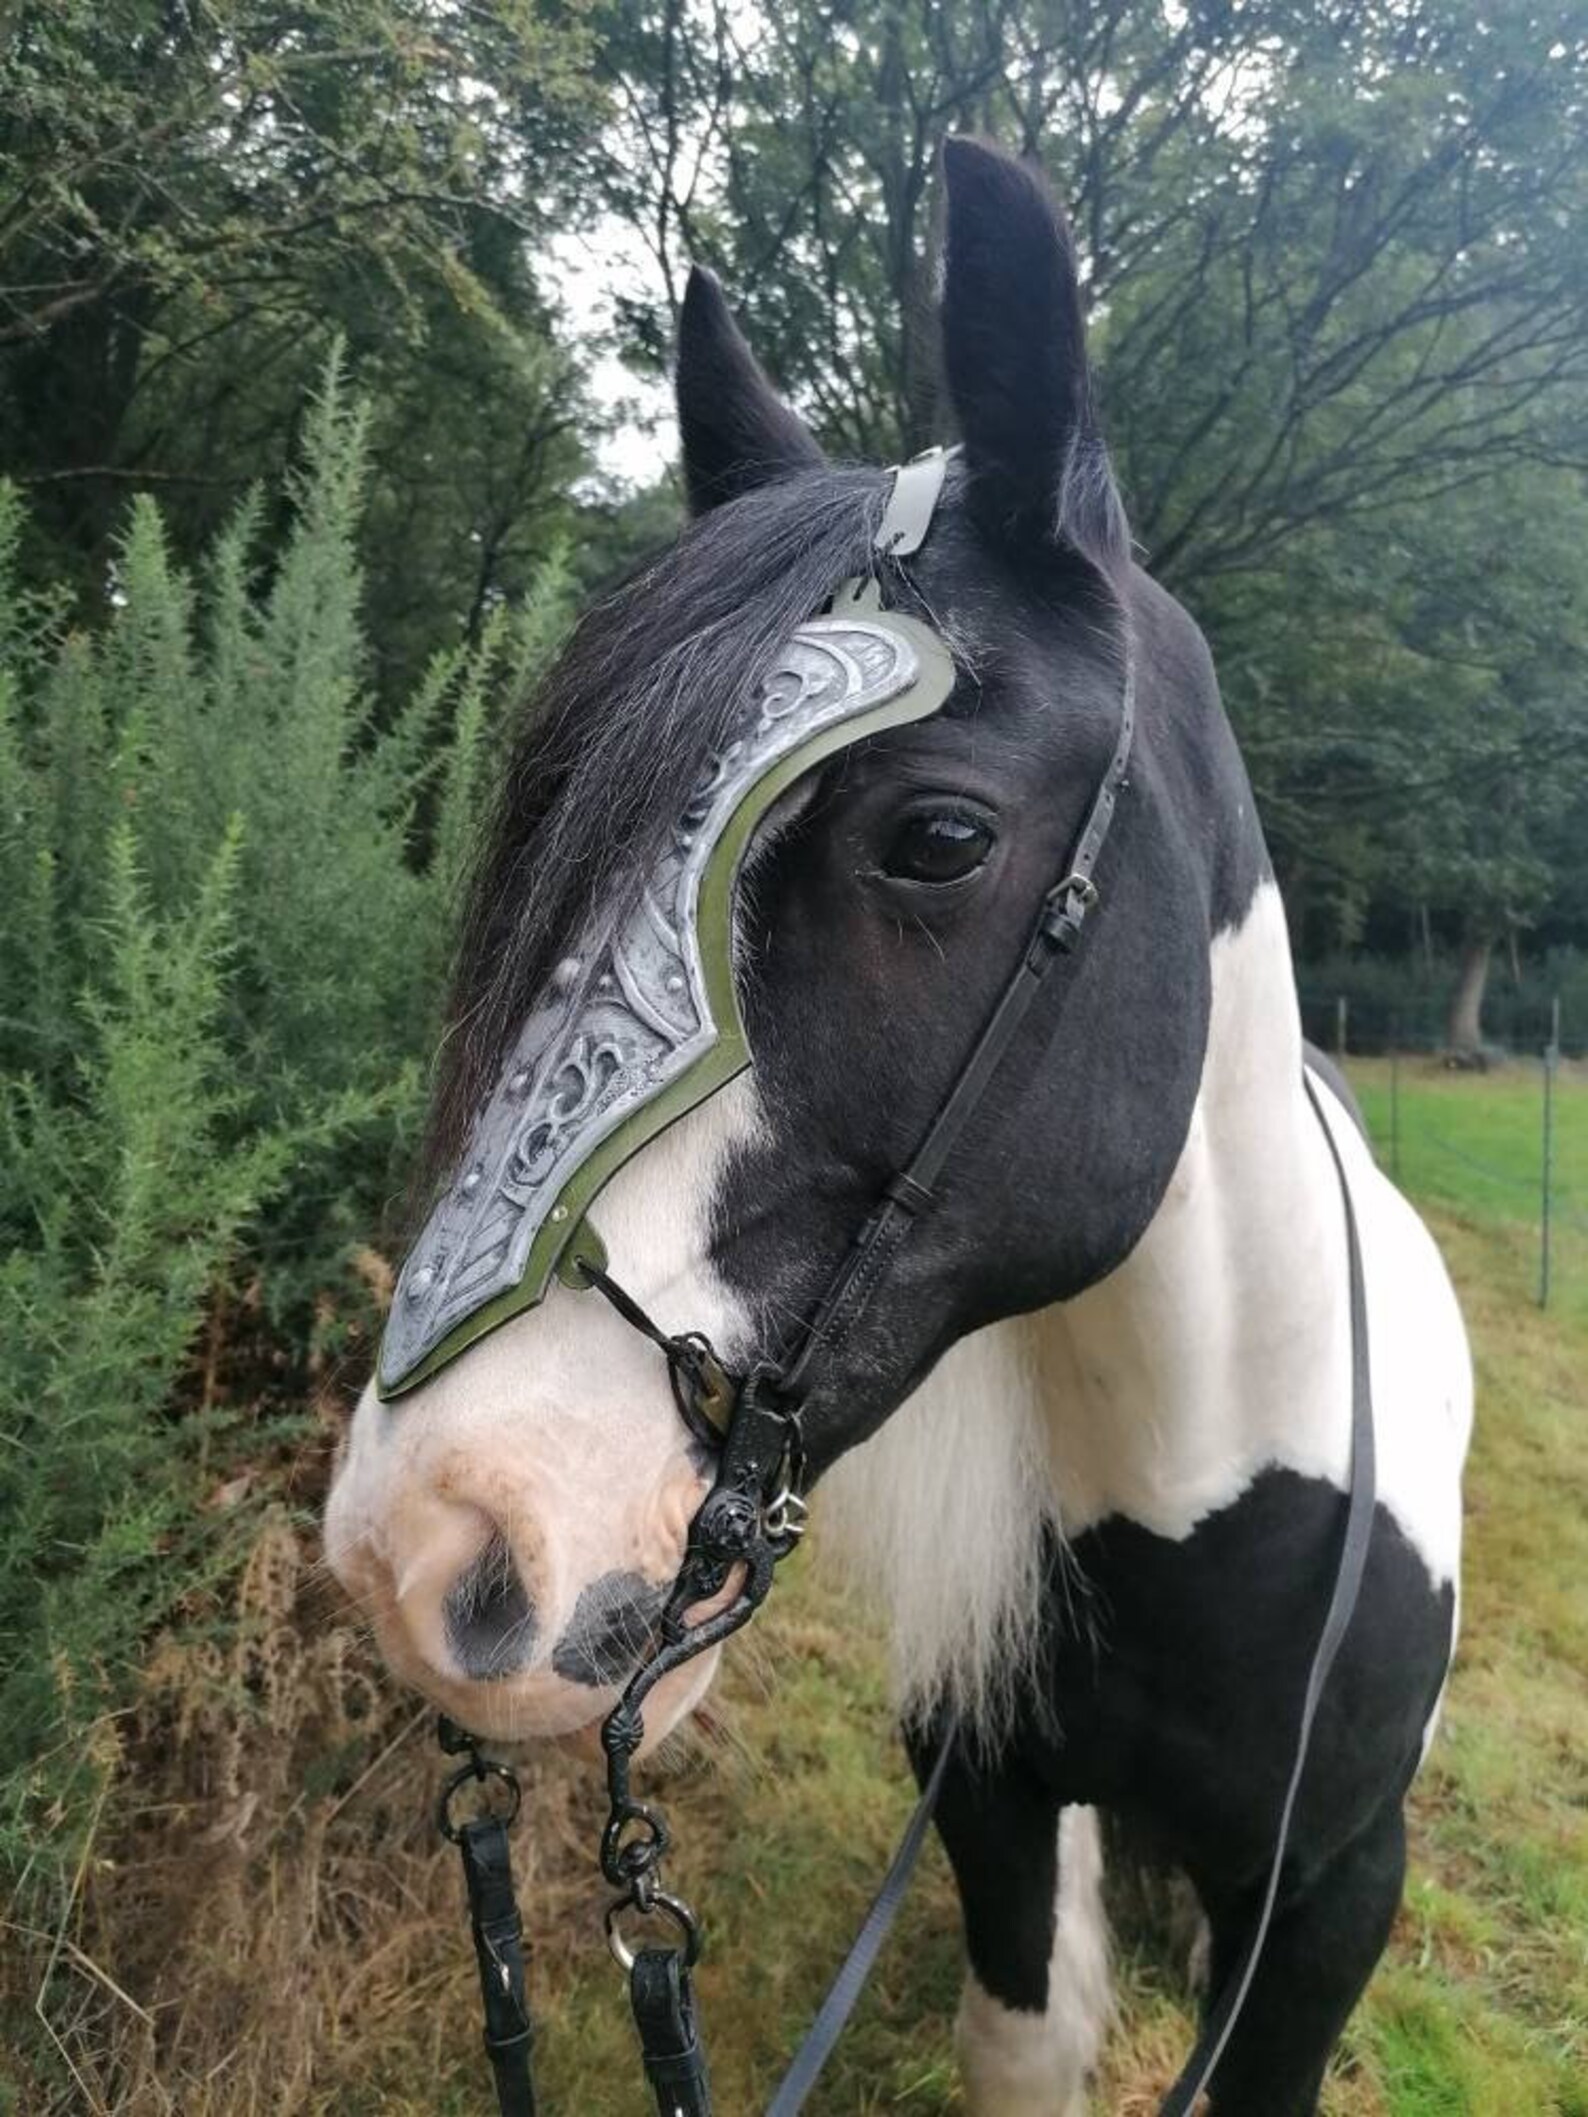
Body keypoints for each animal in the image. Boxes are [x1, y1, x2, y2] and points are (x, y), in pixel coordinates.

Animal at [325, 137, 1472, 2115]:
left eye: (935, 838)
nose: (424, 1552)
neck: (1199, 1503)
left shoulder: (1334, 1891)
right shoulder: (993, 1799)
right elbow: (1025, 2033)